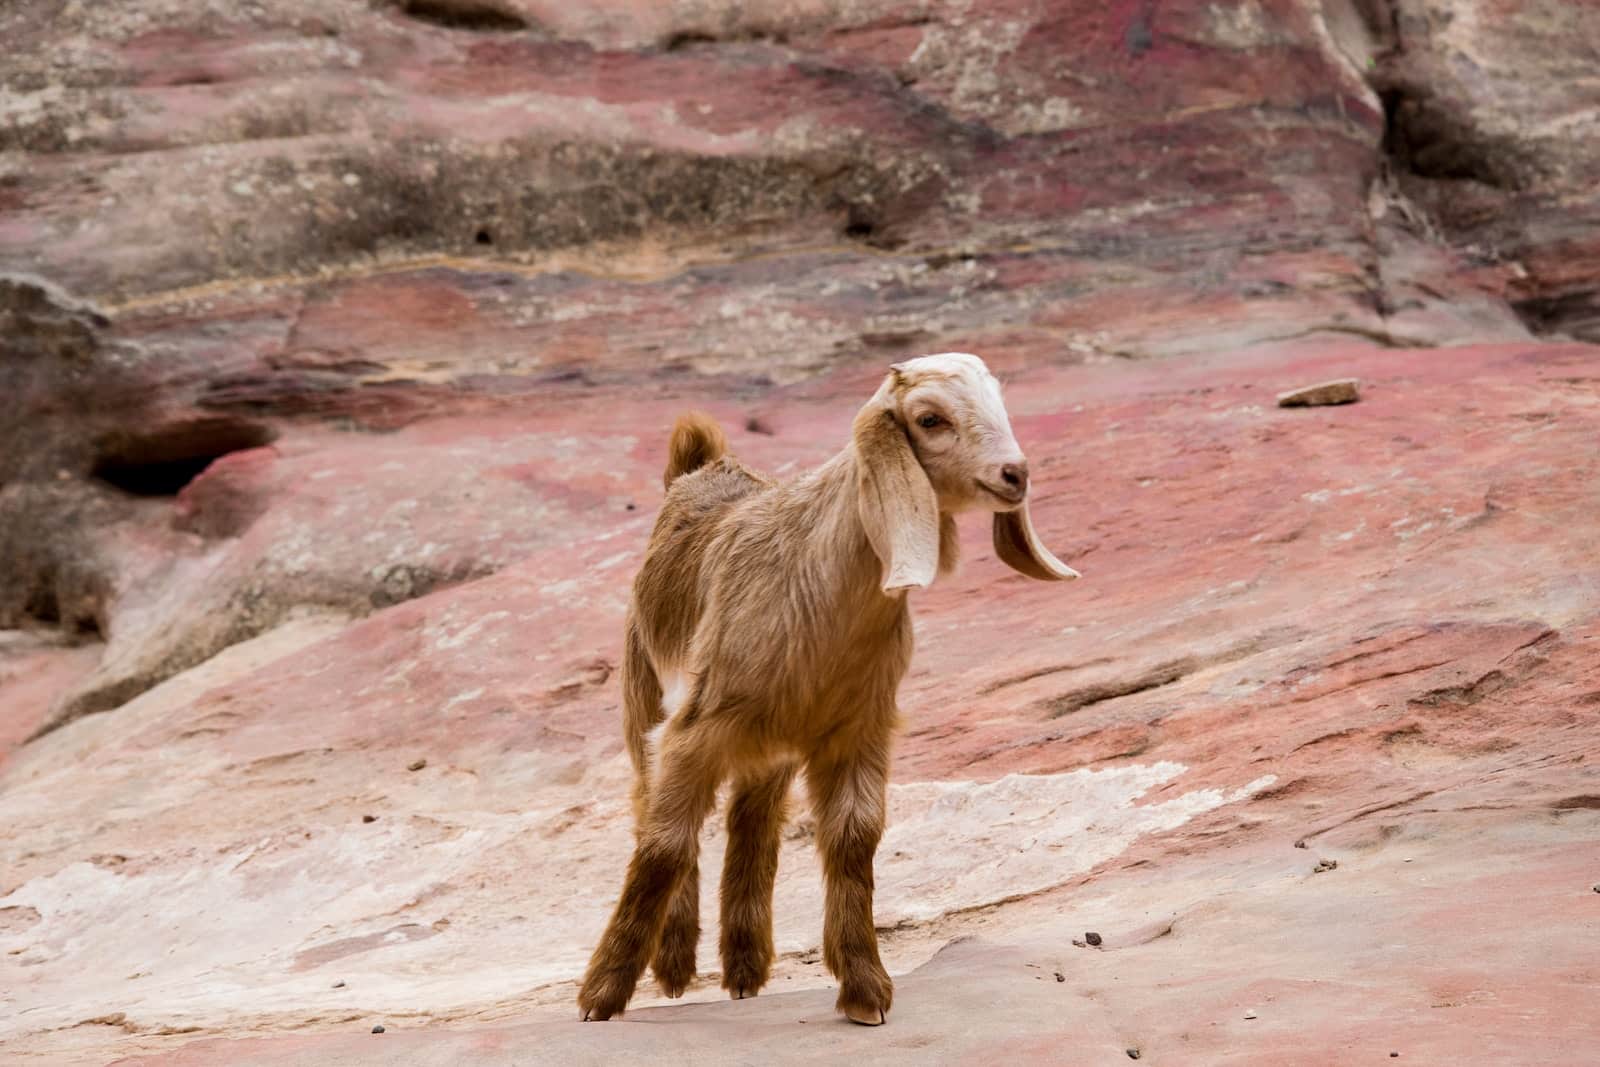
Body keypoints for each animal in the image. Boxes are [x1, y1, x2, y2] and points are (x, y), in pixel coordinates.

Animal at [578, 352, 1077, 1025]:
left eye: (1000, 403)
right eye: (930, 418)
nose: (1015, 475)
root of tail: (700, 466)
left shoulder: (857, 727)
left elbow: (853, 838)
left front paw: (865, 987)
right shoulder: (696, 727)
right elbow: (664, 846)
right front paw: (602, 994)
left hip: (769, 743)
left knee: (752, 821)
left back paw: (744, 968)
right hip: (646, 700)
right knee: (649, 809)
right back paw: (678, 964)